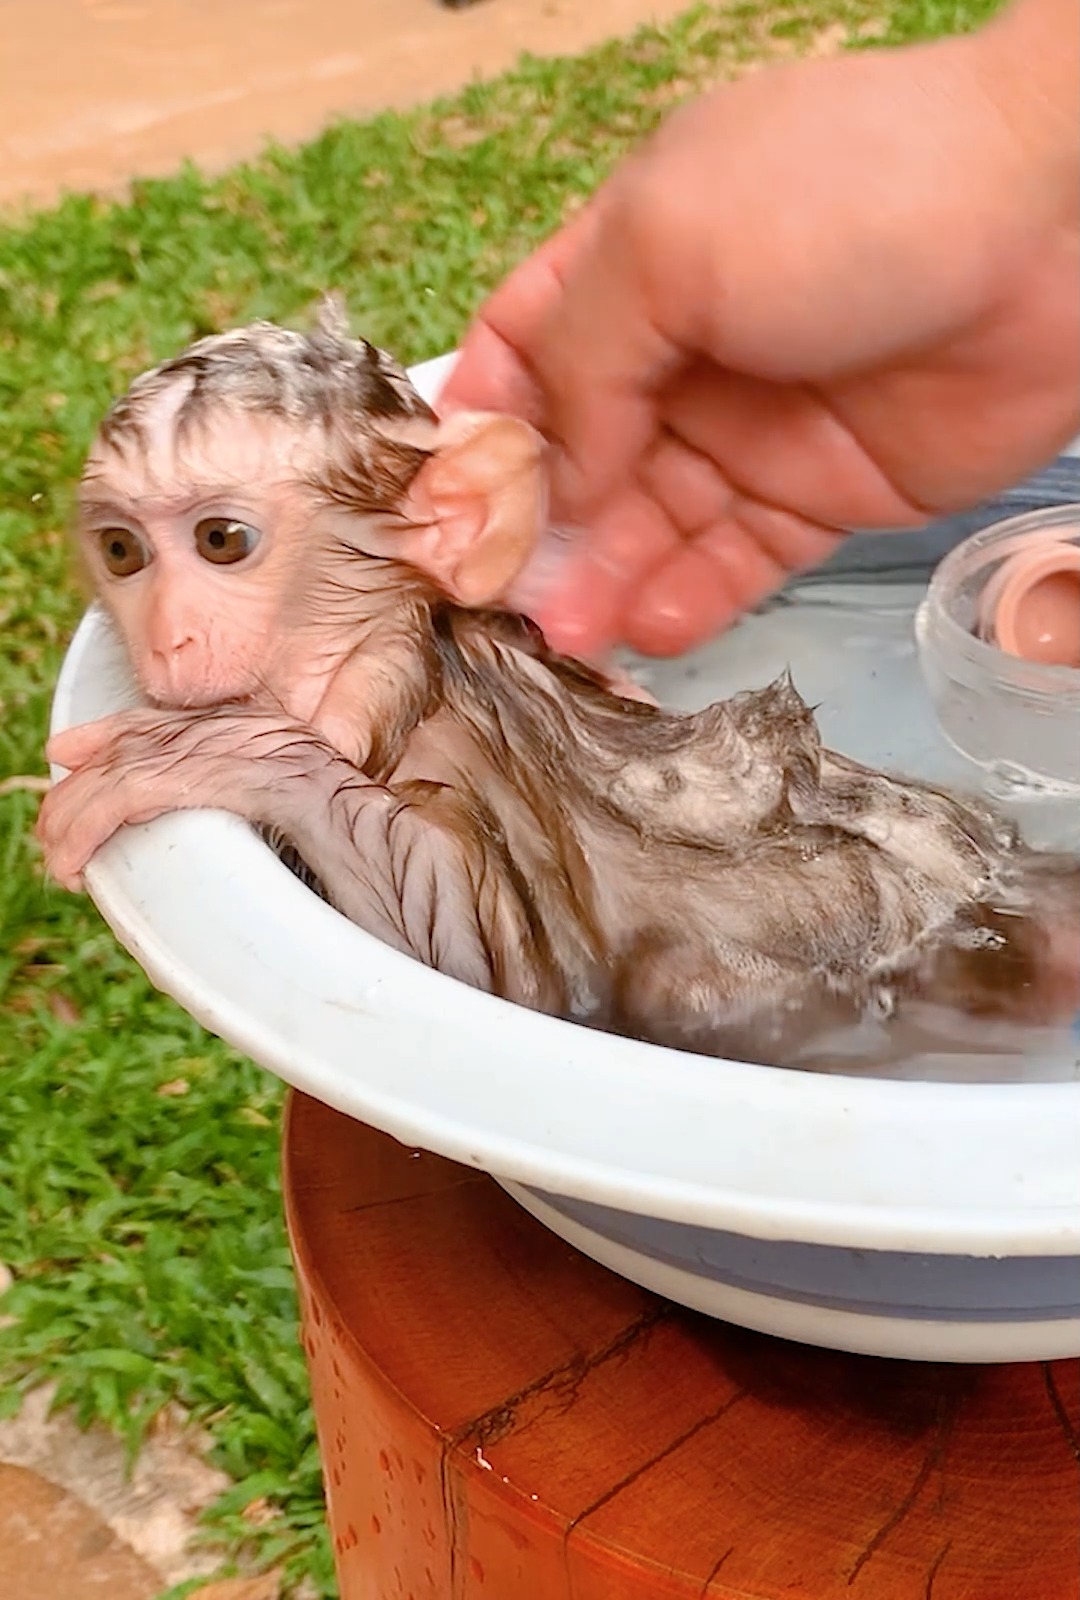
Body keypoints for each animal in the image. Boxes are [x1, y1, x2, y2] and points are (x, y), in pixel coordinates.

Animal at [37, 308, 1080, 1071]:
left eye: (222, 541)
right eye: (122, 552)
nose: (167, 638)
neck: (417, 676)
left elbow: (486, 969)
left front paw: (221, 756)